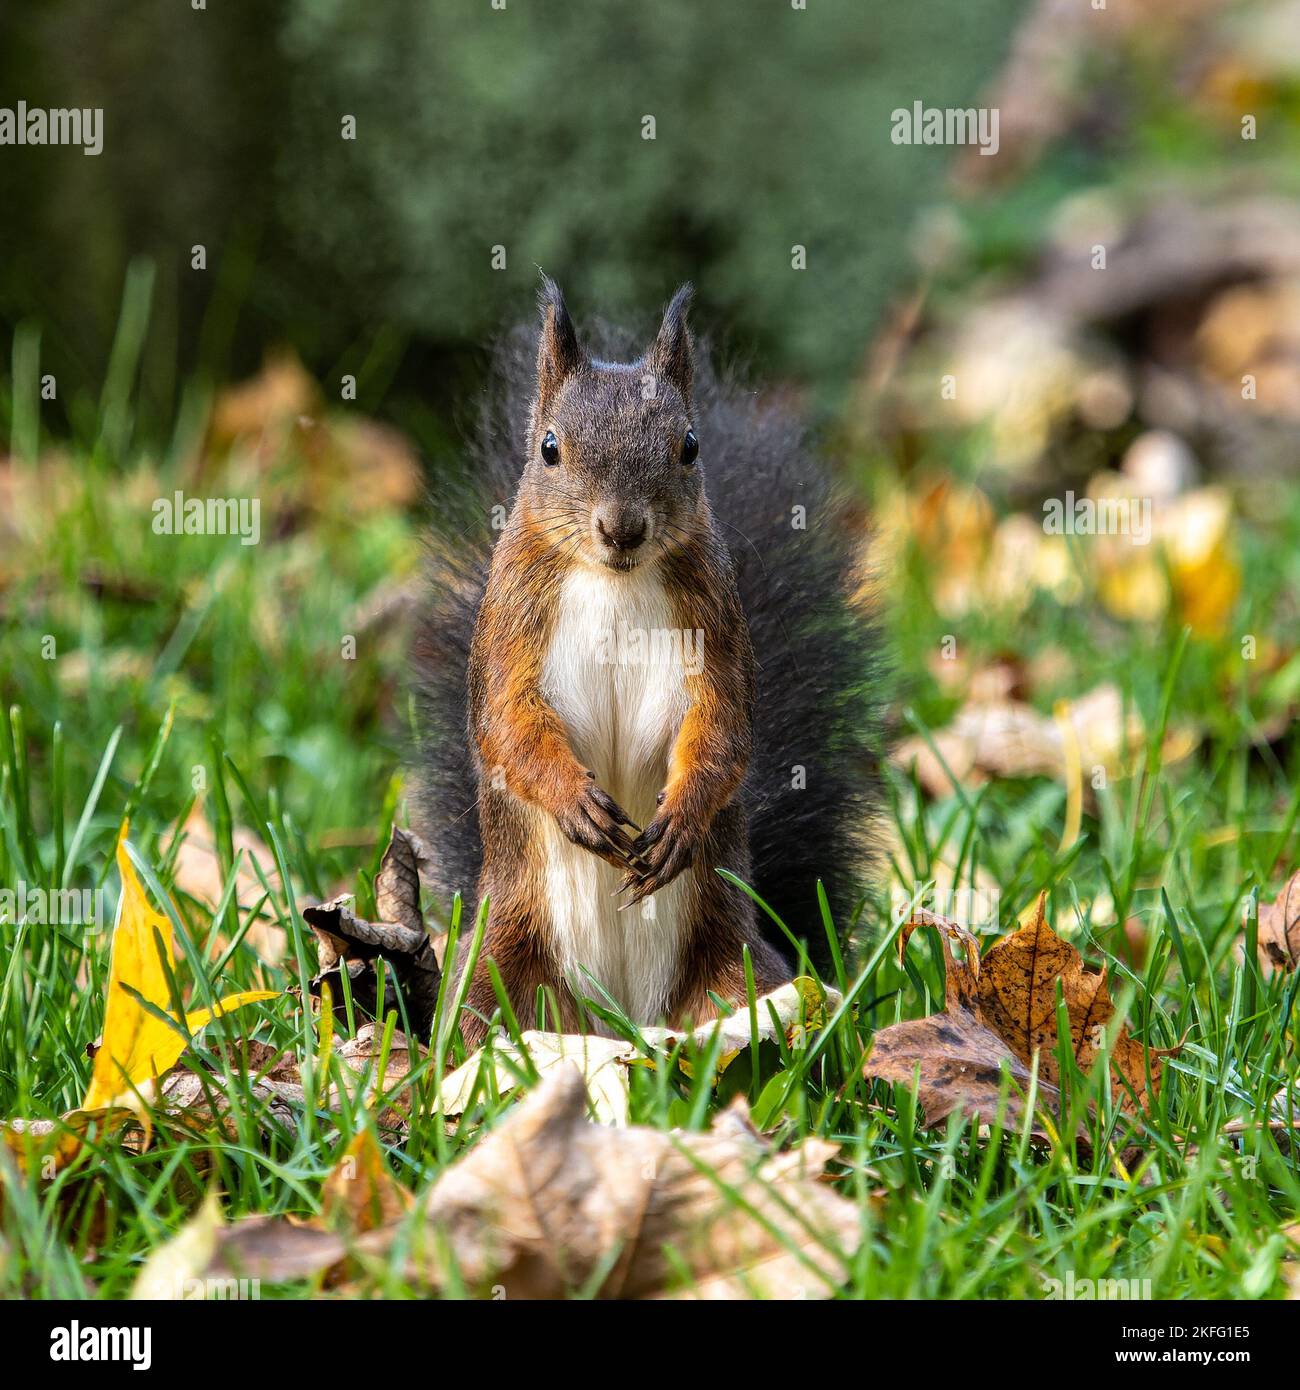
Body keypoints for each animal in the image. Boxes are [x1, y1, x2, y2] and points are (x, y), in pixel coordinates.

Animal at [413, 279, 880, 1047]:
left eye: (689, 446)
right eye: (549, 447)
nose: (622, 527)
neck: (615, 579)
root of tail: (623, 1023)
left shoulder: (717, 630)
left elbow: (722, 730)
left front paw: (681, 822)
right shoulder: (510, 627)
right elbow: (508, 724)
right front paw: (576, 803)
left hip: (732, 959)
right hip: (502, 959)